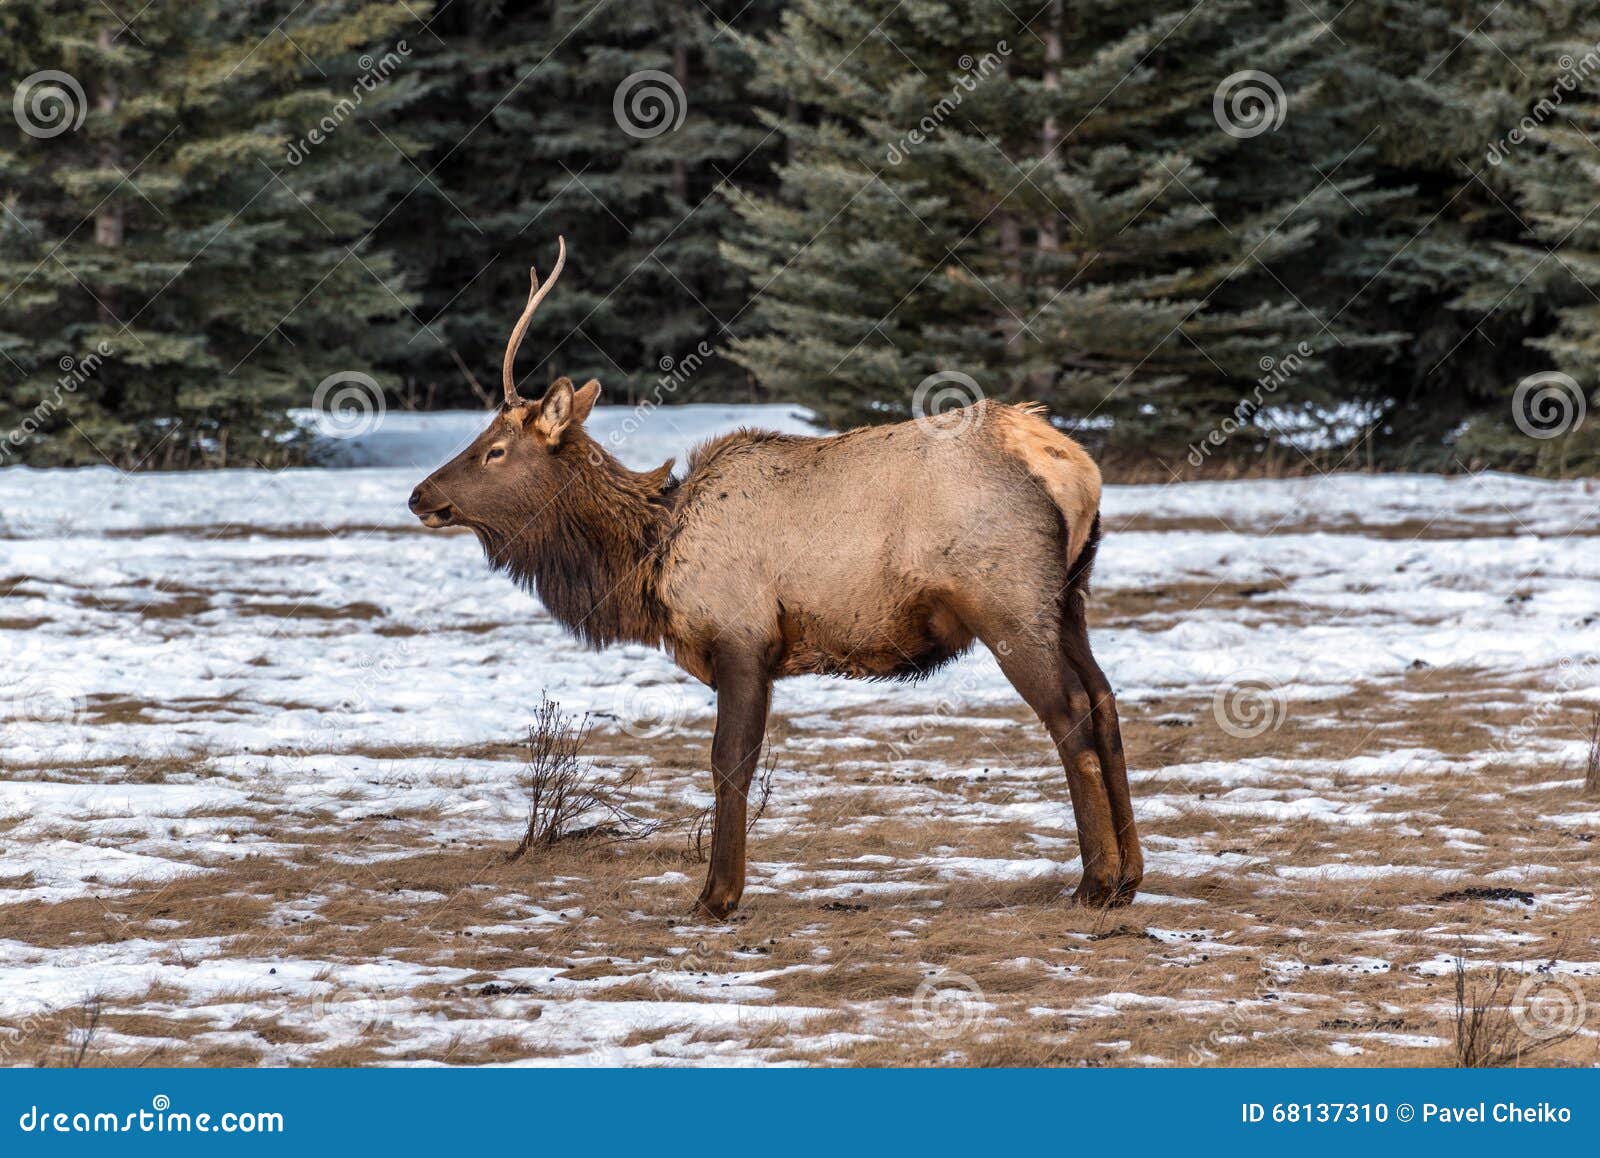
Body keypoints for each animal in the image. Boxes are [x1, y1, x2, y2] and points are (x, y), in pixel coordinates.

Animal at [408, 238, 1142, 918]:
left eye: (494, 449)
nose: (419, 495)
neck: (650, 556)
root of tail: (1076, 468)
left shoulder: (742, 636)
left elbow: (729, 760)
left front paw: (716, 896)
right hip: (1069, 598)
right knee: (1104, 701)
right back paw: (1132, 875)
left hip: (1006, 602)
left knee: (1068, 711)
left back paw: (1096, 882)